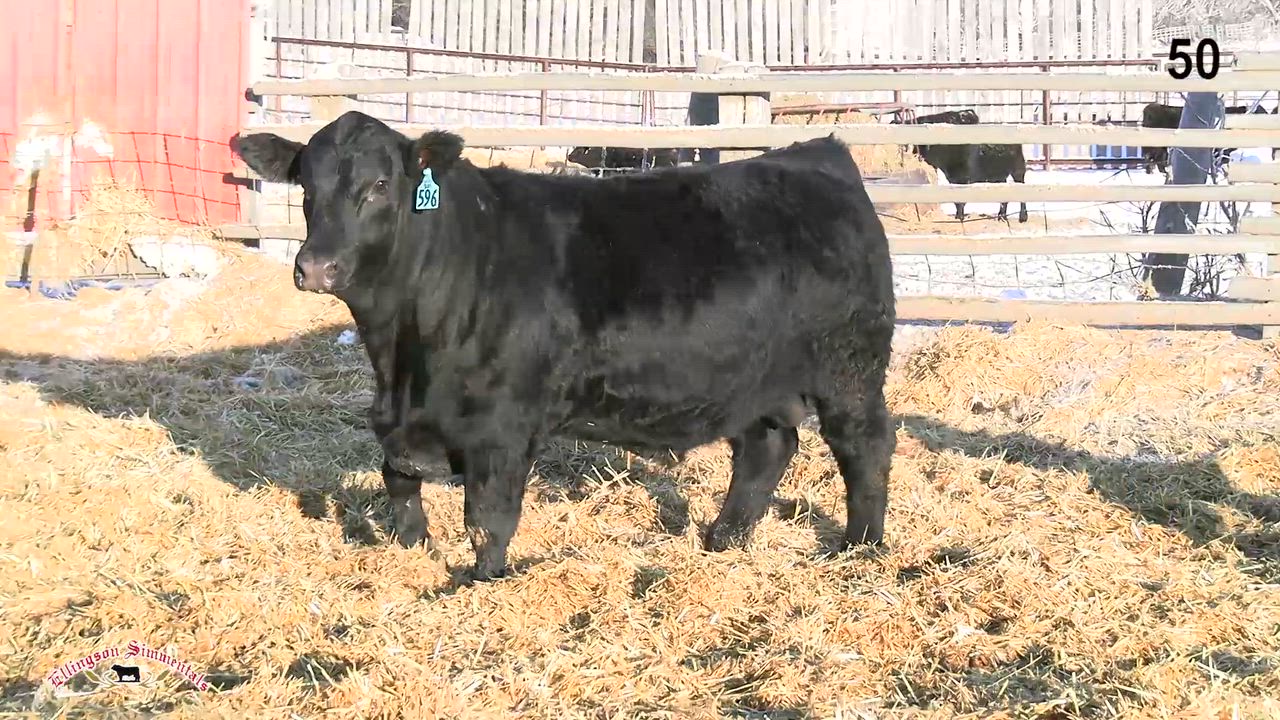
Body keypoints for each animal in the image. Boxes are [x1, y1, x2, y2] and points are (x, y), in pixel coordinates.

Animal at [231, 111, 897, 583]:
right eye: (305, 186)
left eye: (378, 185)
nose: (317, 266)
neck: (403, 354)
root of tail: (818, 154)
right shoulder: (398, 422)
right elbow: (399, 485)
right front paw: (415, 551)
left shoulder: (501, 428)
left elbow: (488, 518)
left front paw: (479, 584)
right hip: (755, 381)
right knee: (766, 447)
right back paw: (722, 540)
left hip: (850, 368)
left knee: (864, 447)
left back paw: (859, 548)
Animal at [891, 108, 1029, 223]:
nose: (917, 155)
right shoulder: (953, 179)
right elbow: (957, 201)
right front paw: (958, 217)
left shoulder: (964, 179)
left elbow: (961, 201)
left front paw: (960, 217)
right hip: (999, 176)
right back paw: (1001, 217)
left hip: (1018, 171)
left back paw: (1022, 217)